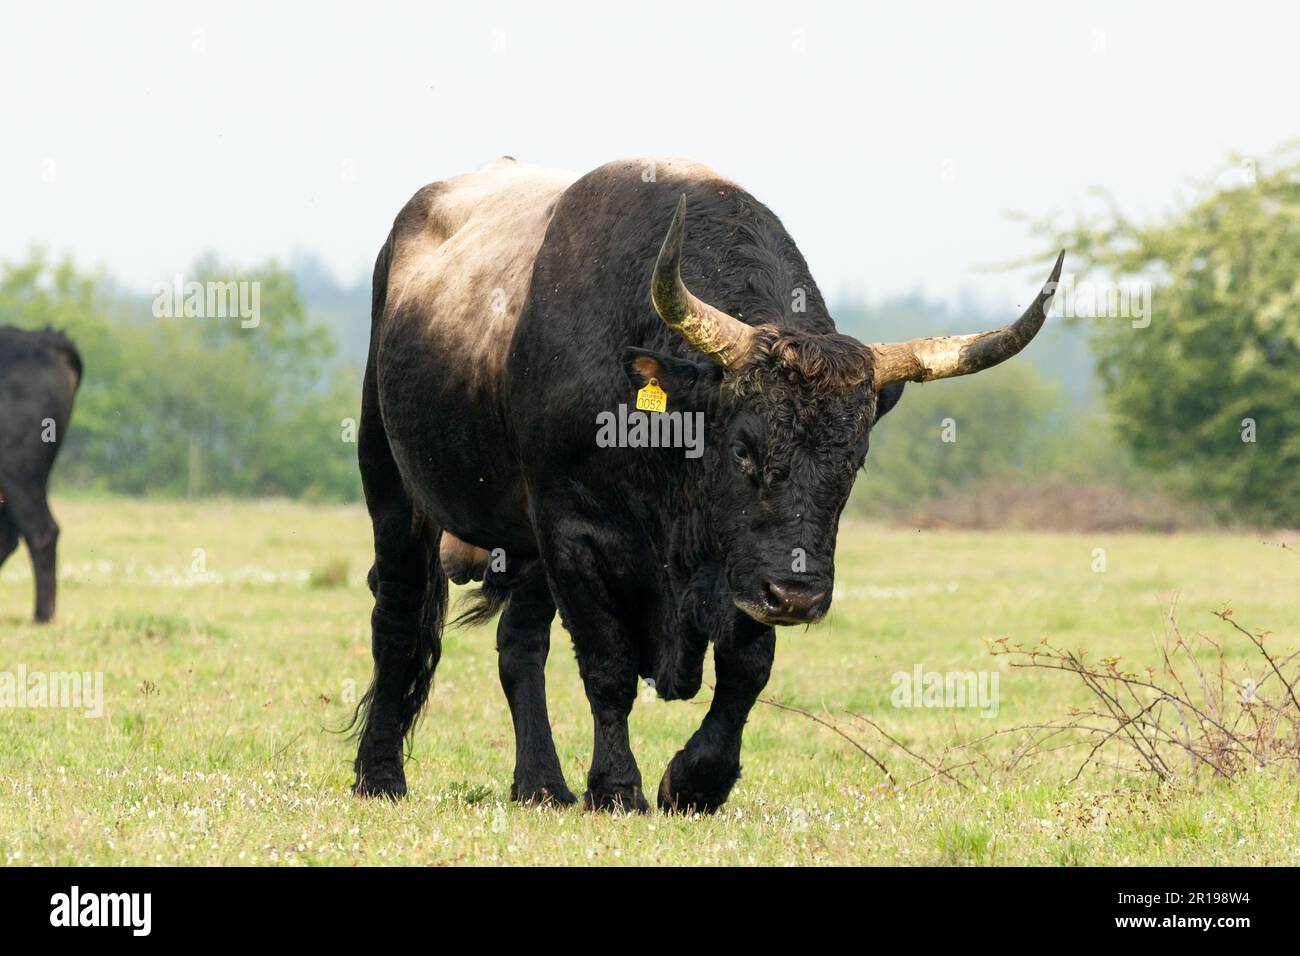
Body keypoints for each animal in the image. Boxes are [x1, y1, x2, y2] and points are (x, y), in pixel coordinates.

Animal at [351, 157, 1061, 812]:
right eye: (743, 449)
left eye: (853, 461)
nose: (799, 597)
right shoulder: (574, 534)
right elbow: (608, 667)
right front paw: (618, 789)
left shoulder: (740, 568)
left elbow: (747, 670)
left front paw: (696, 781)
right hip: (393, 486)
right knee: (399, 621)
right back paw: (379, 777)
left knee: (518, 646)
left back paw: (541, 787)